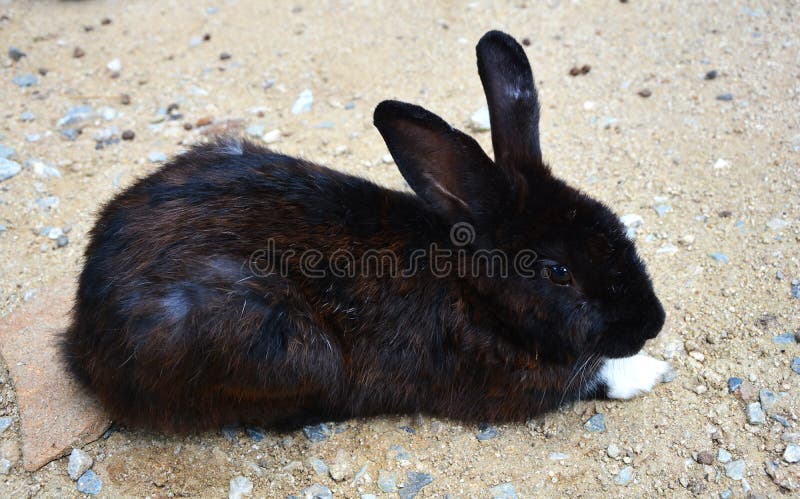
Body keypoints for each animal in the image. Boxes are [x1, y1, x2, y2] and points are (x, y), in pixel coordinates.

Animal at [62, 30, 670, 432]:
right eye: (558, 271)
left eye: (613, 223)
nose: (654, 322)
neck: (473, 293)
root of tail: (82, 336)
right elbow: (594, 376)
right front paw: (648, 371)